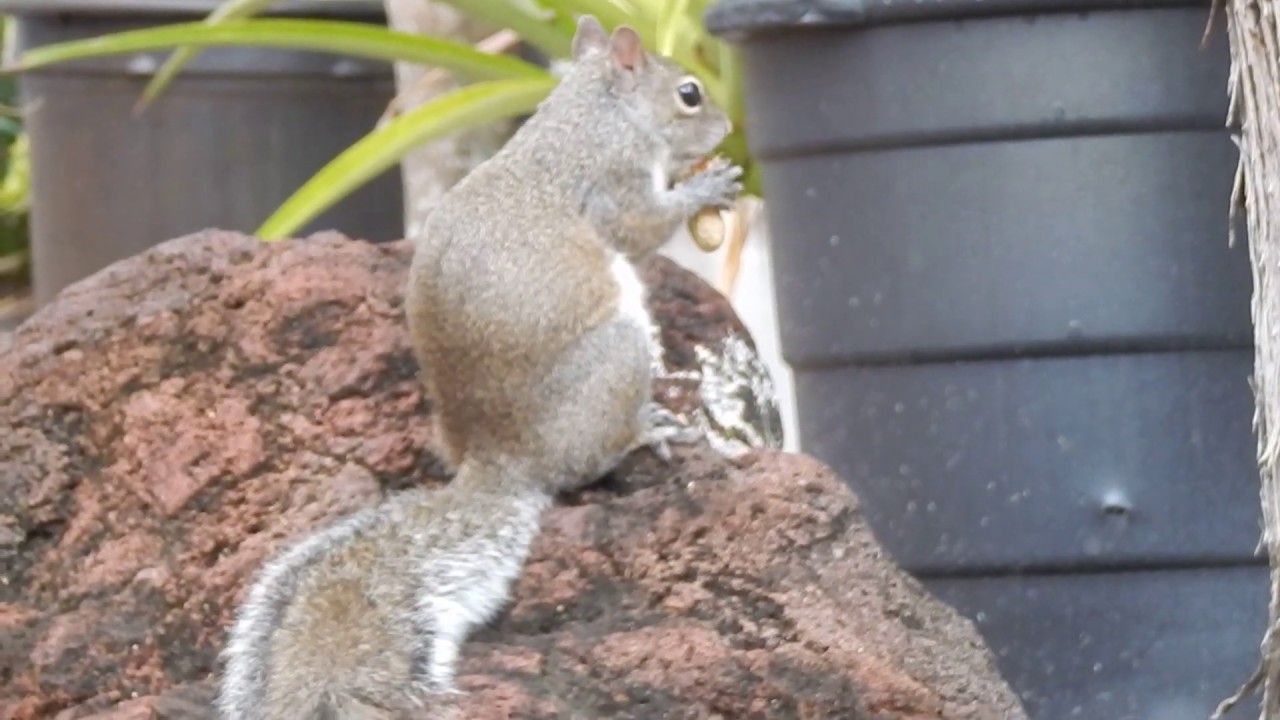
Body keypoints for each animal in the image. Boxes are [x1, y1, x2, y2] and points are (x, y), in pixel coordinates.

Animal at [215, 14, 741, 720]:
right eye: (689, 93)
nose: (727, 126)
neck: (588, 113)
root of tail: (503, 459)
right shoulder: (615, 182)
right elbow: (642, 227)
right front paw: (707, 187)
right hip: (620, 354)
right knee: (593, 456)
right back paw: (645, 430)